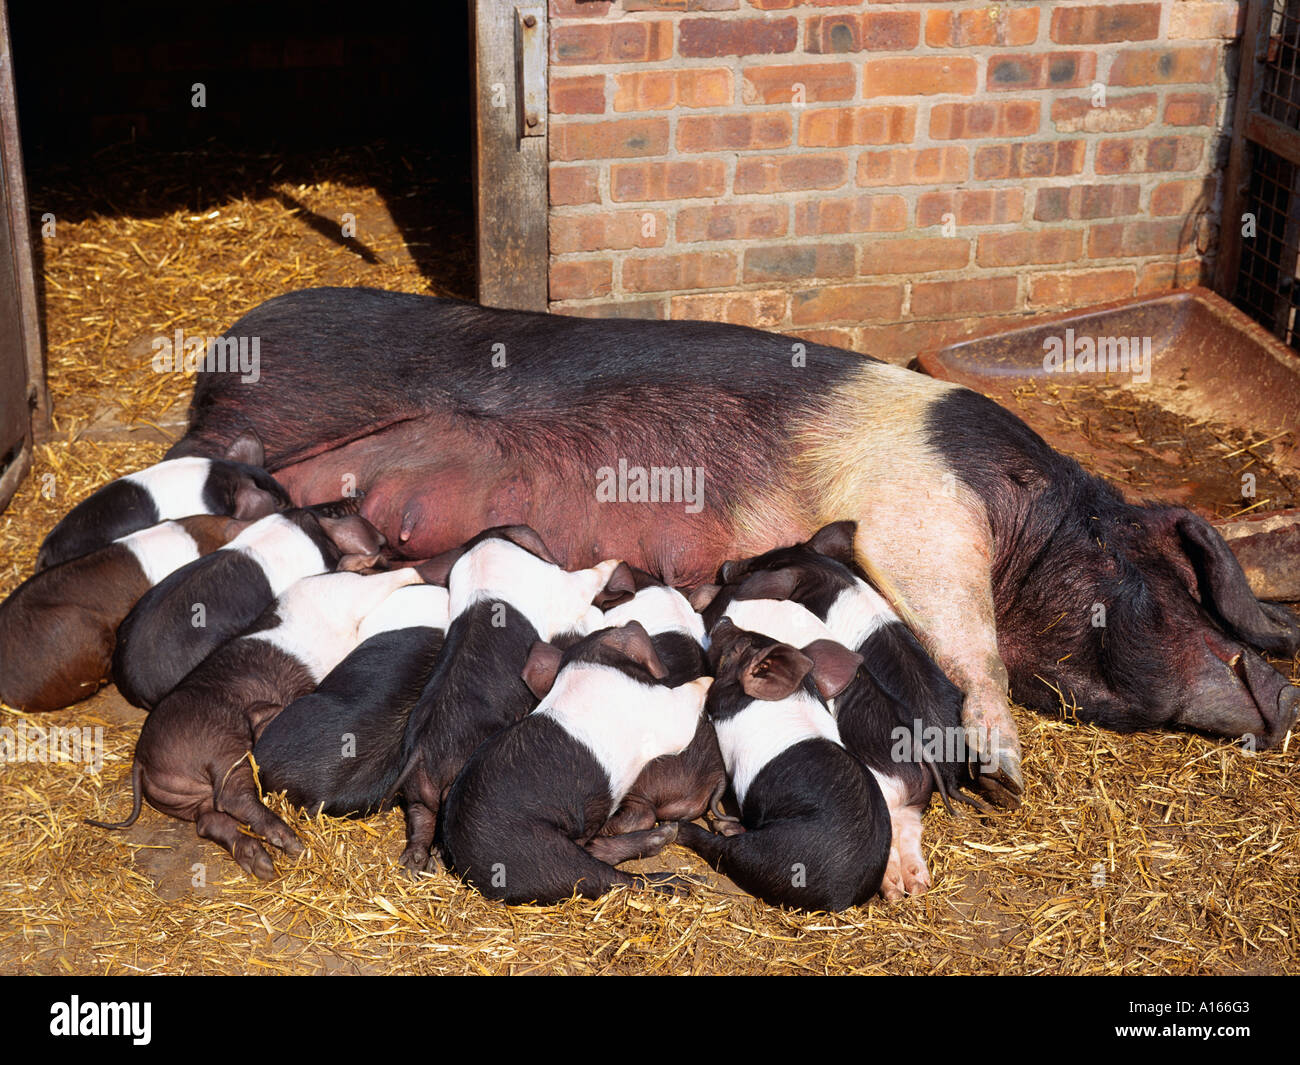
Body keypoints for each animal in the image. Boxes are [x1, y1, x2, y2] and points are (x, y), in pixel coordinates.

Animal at [88, 566, 426, 879]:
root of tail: (141, 759)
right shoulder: (342, 590)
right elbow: (378, 582)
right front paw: (415, 576)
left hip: (185, 795)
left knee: (209, 820)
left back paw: (261, 863)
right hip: (221, 744)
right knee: (232, 797)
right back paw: (293, 845)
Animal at [389, 525, 623, 871]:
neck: (486, 546)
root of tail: (421, 752)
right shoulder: (560, 584)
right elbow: (586, 578)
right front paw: (616, 560)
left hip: (419, 792)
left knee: (421, 819)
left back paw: (415, 864)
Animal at [440, 622, 711, 904]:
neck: (587, 661)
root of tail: (470, 867)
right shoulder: (664, 717)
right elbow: (686, 706)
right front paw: (708, 680)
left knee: (599, 853)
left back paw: (668, 835)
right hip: (542, 855)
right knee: (607, 878)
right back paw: (685, 886)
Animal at [674, 619, 889, 912]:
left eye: (740, 646)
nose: (725, 620)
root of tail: (840, 897)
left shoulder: (720, 699)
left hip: (766, 854)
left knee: (724, 852)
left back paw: (682, 829)